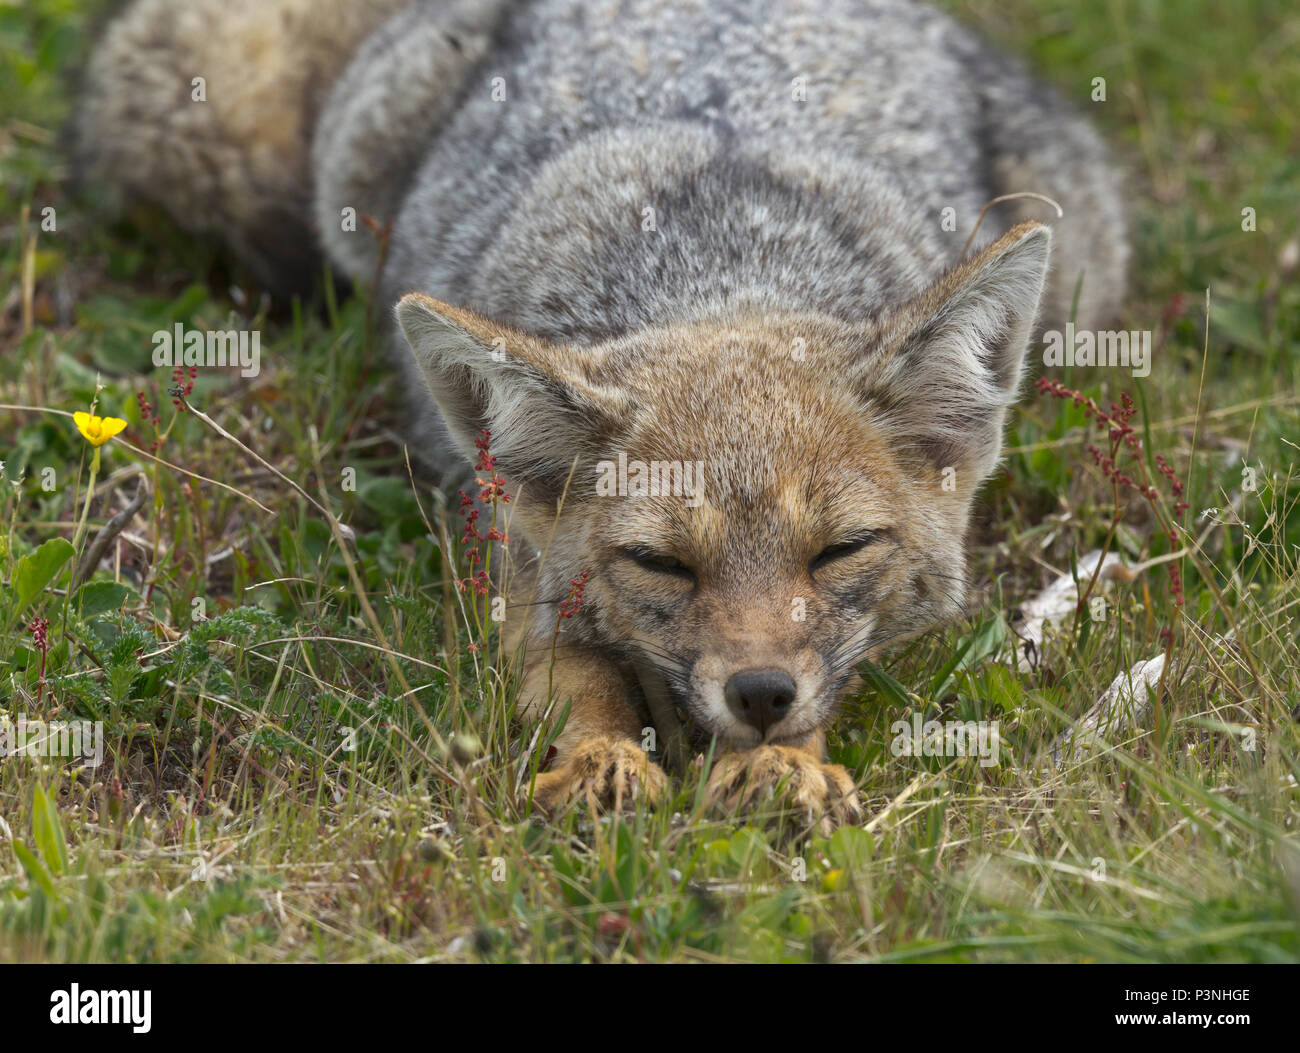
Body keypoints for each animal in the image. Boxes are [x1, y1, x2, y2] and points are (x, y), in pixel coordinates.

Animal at [76, 0, 1127, 830]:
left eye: (840, 551)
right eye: (662, 562)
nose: (759, 693)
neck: (722, 270)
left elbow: (827, 680)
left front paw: (779, 765)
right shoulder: (523, 580)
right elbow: (584, 682)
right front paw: (601, 761)